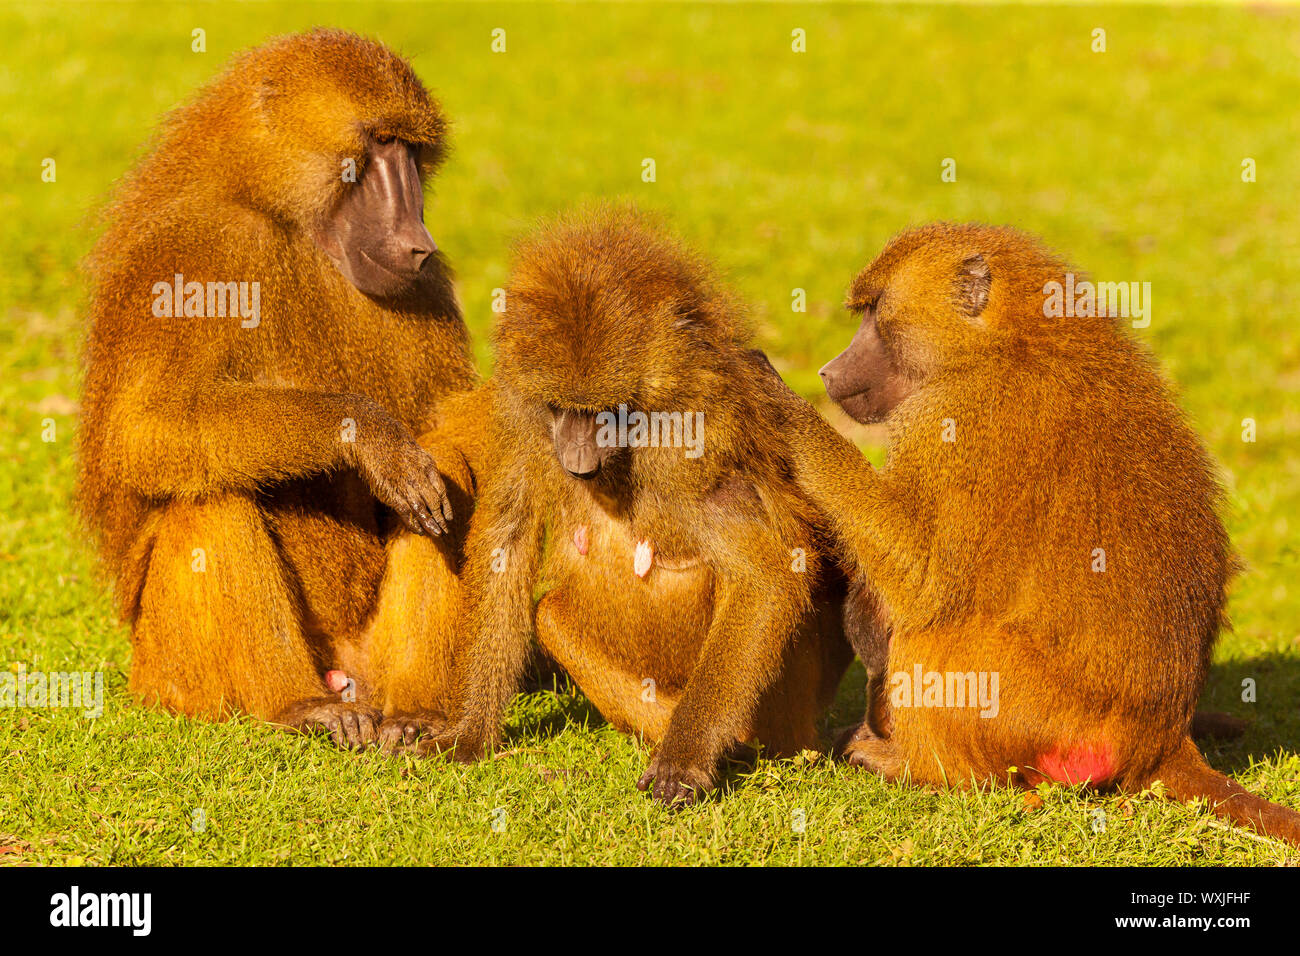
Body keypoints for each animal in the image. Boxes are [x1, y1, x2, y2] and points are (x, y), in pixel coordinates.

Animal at [77, 29, 477, 749]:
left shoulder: (426, 286)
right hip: (171, 675)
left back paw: (413, 715)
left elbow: (453, 443)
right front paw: (368, 436)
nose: (417, 241)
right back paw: (298, 706)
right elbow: (141, 430)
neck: (290, 224)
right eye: (377, 144)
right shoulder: (201, 249)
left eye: (412, 152)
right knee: (207, 492)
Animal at [406, 206, 852, 804]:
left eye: (606, 413)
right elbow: (508, 539)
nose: (575, 458)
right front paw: (468, 733)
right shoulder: (522, 417)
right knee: (550, 614)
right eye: (560, 408)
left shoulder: (692, 442)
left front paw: (684, 761)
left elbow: (769, 574)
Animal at [761, 222, 1300, 845]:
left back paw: (919, 769)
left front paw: (780, 407)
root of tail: (1160, 738)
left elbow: (925, 580)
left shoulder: (957, 416)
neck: (1006, 341)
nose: (829, 370)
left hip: (1037, 715)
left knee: (934, 638)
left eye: (875, 313)